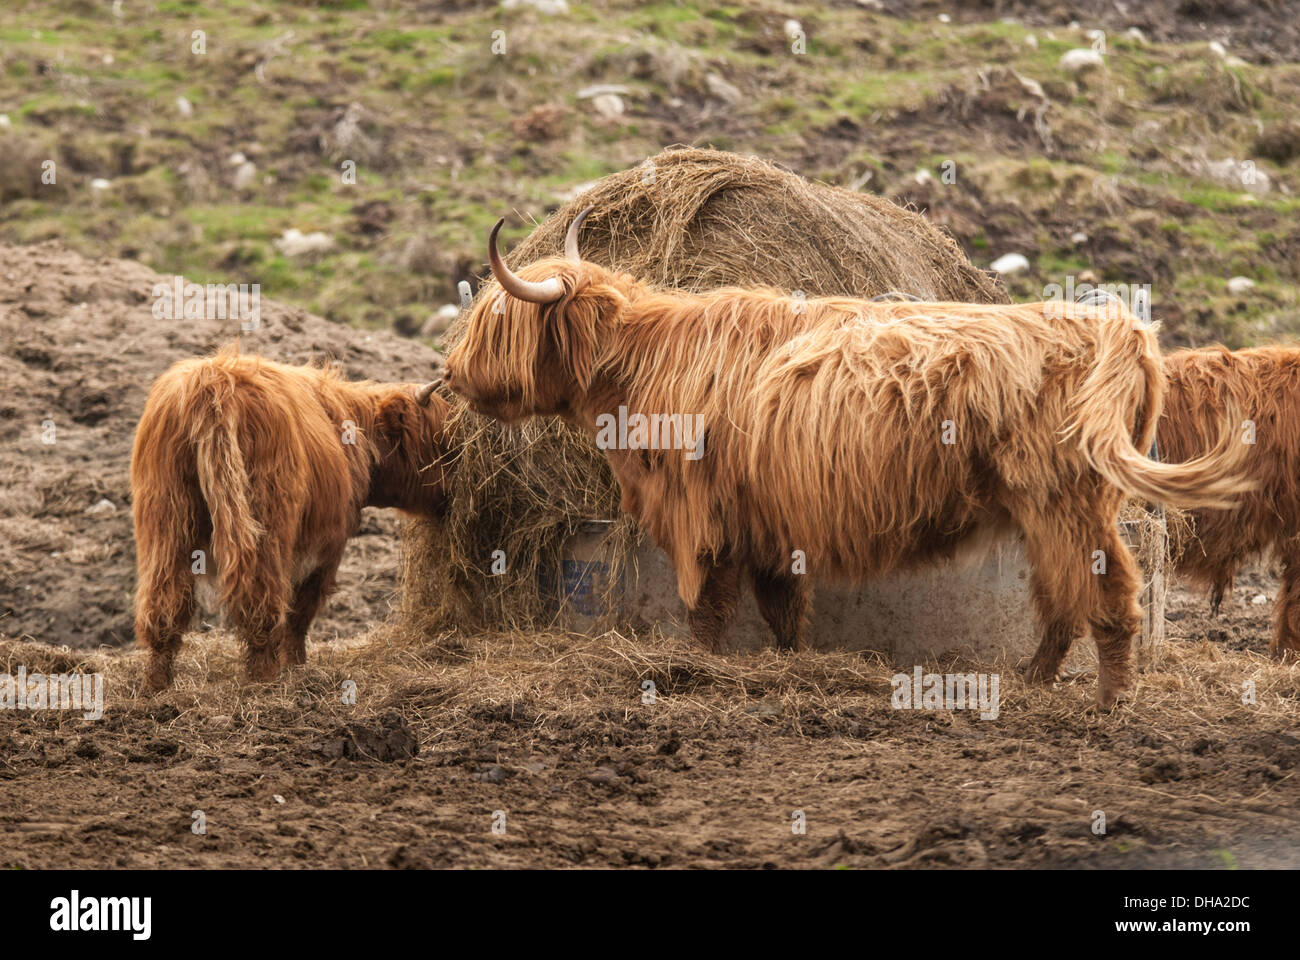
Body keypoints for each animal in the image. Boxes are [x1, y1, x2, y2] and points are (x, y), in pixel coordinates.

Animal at [131, 346, 453, 691]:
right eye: (441, 441)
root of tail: (214, 379)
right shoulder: (328, 545)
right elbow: (302, 609)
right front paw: (296, 664)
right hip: (266, 522)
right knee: (260, 596)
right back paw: (264, 678)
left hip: (167, 519)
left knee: (164, 600)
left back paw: (157, 683)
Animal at [442, 210, 1250, 707]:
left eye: (498, 316)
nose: (449, 375)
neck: (643, 362)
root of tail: (1117, 331)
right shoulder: (766, 517)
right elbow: (780, 604)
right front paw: (791, 663)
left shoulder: (702, 509)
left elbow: (706, 603)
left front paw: (698, 670)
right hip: (1042, 508)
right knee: (1059, 598)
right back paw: (1033, 679)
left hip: (1066, 502)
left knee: (1108, 594)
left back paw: (1109, 701)